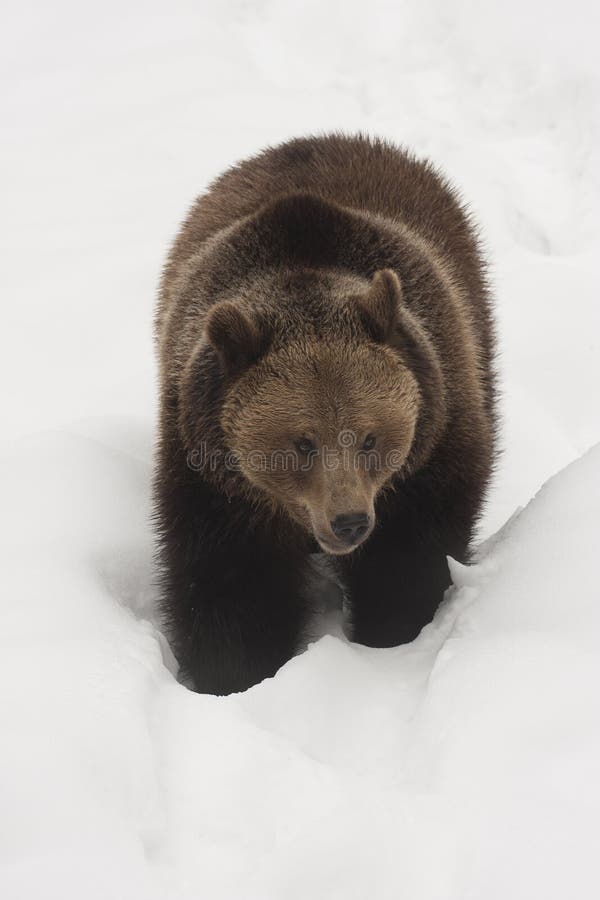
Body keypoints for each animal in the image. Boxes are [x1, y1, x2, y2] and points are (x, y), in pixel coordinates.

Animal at [154, 133, 496, 696]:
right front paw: (233, 675)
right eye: (301, 442)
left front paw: (393, 636)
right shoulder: (213, 475)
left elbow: (408, 560)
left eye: (371, 438)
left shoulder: (430, 449)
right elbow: (231, 584)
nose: (350, 521)